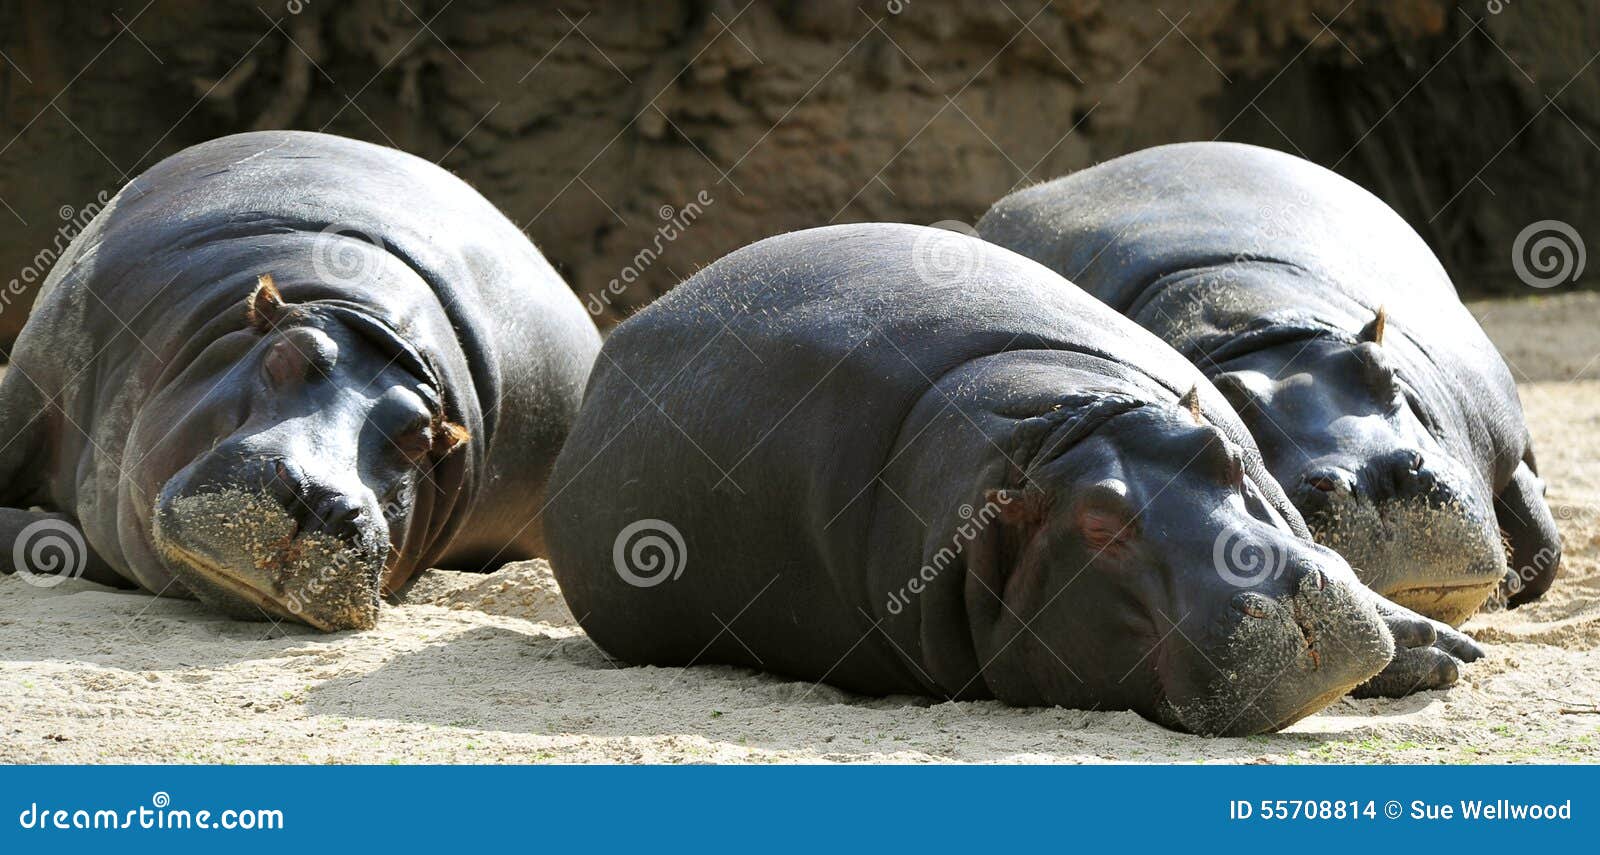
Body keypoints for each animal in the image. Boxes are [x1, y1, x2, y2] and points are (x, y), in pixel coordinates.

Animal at [979, 142, 1560, 635]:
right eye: (1237, 403)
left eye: (1386, 370)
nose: (1373, 476)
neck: (1259, 328)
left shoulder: (1504, 439)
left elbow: (1546, 544)